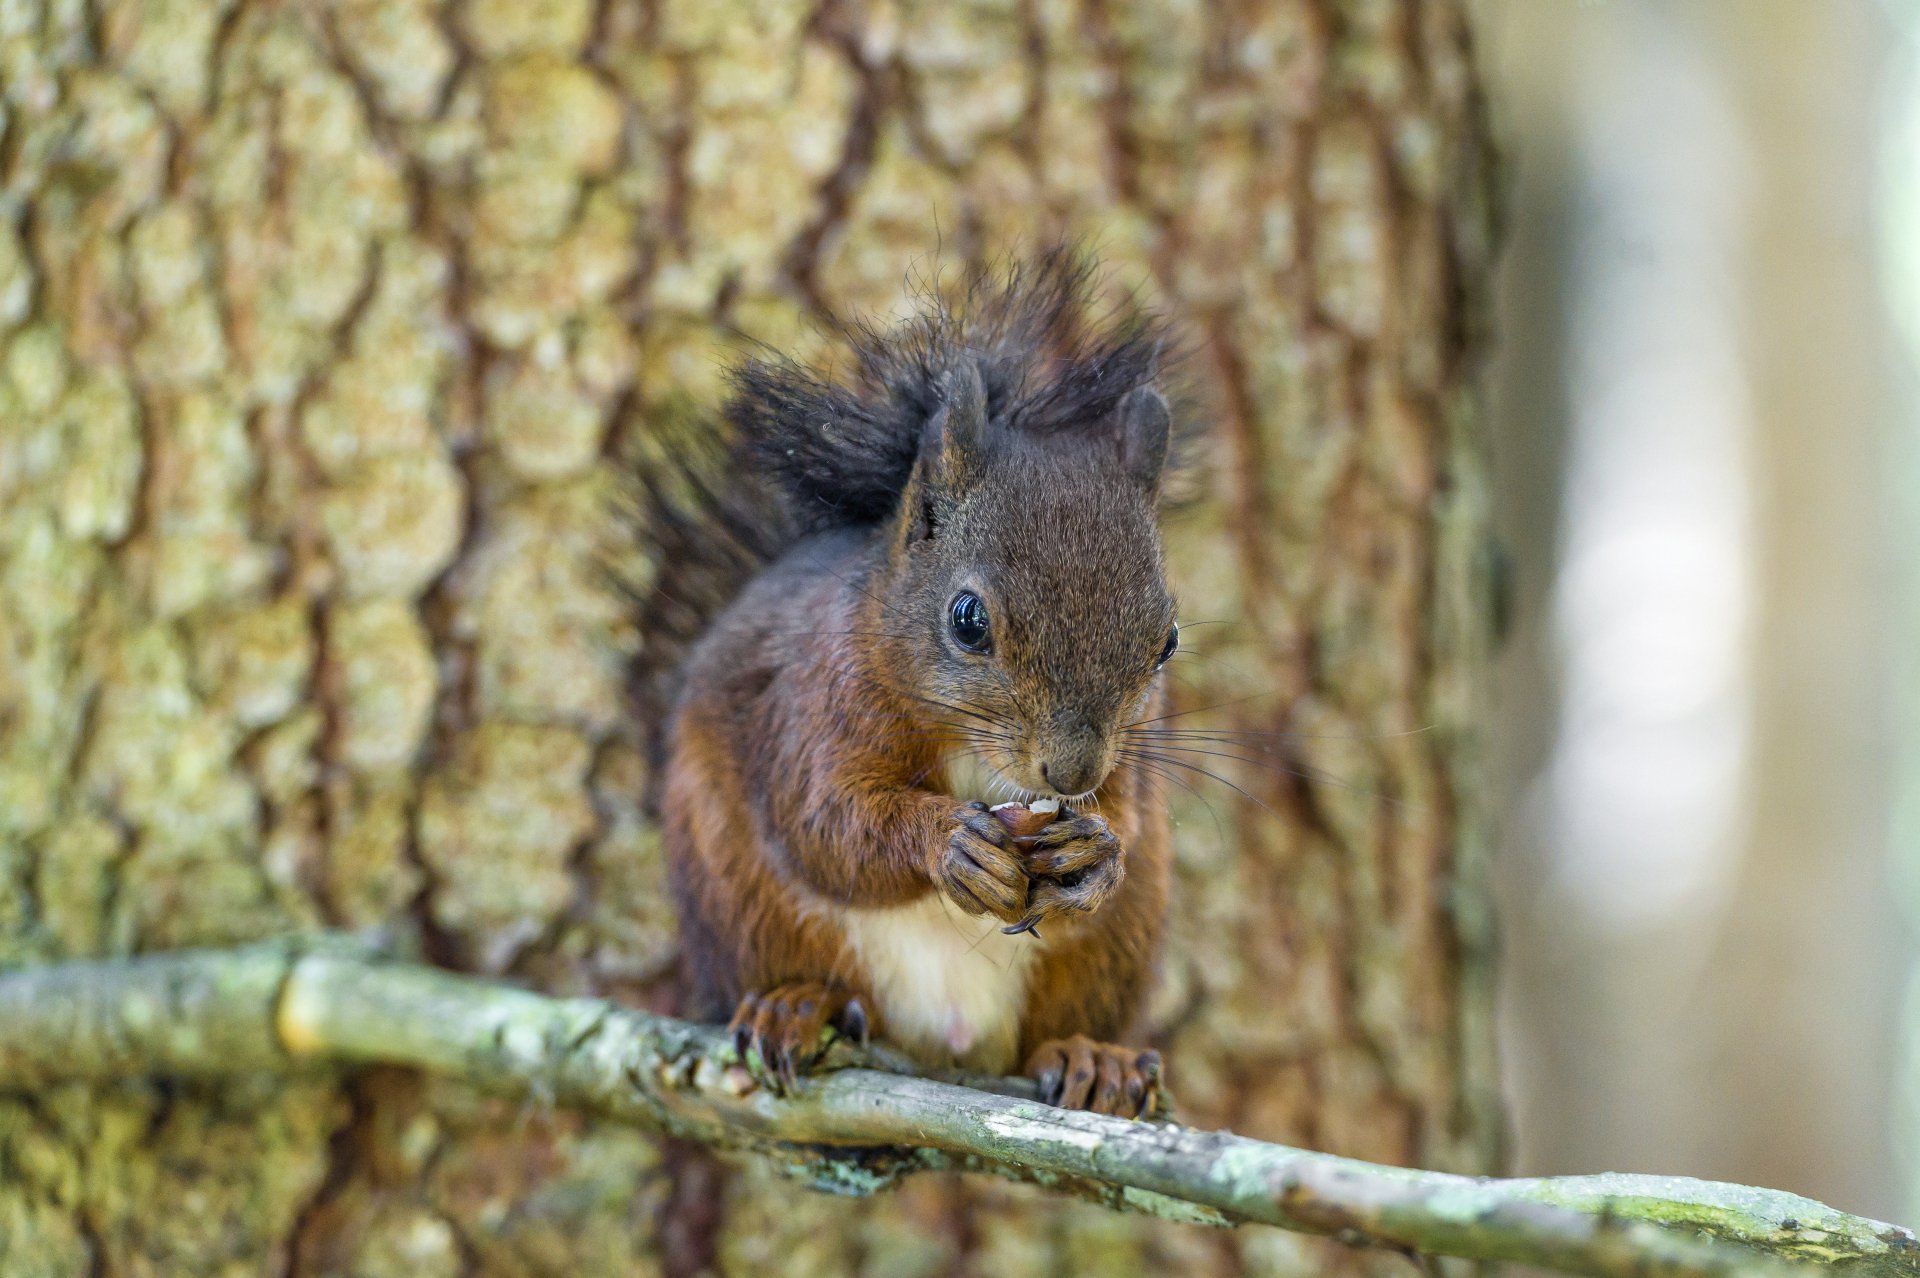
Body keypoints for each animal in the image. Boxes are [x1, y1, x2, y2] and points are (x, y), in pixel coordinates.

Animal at [631, 252, 1189, 1118]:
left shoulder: (1130, 760)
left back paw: (1094, 1057)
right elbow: (825, 819)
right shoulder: (814, 703)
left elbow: (1122, 820)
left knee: (1059, 1027)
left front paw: (1095, 852)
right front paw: (948, 842)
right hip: (736, 895)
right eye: (967, 620)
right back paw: (794, 1007)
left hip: (1115, 951)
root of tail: (949, 1043)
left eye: (1168, 640)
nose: (1071, 773)